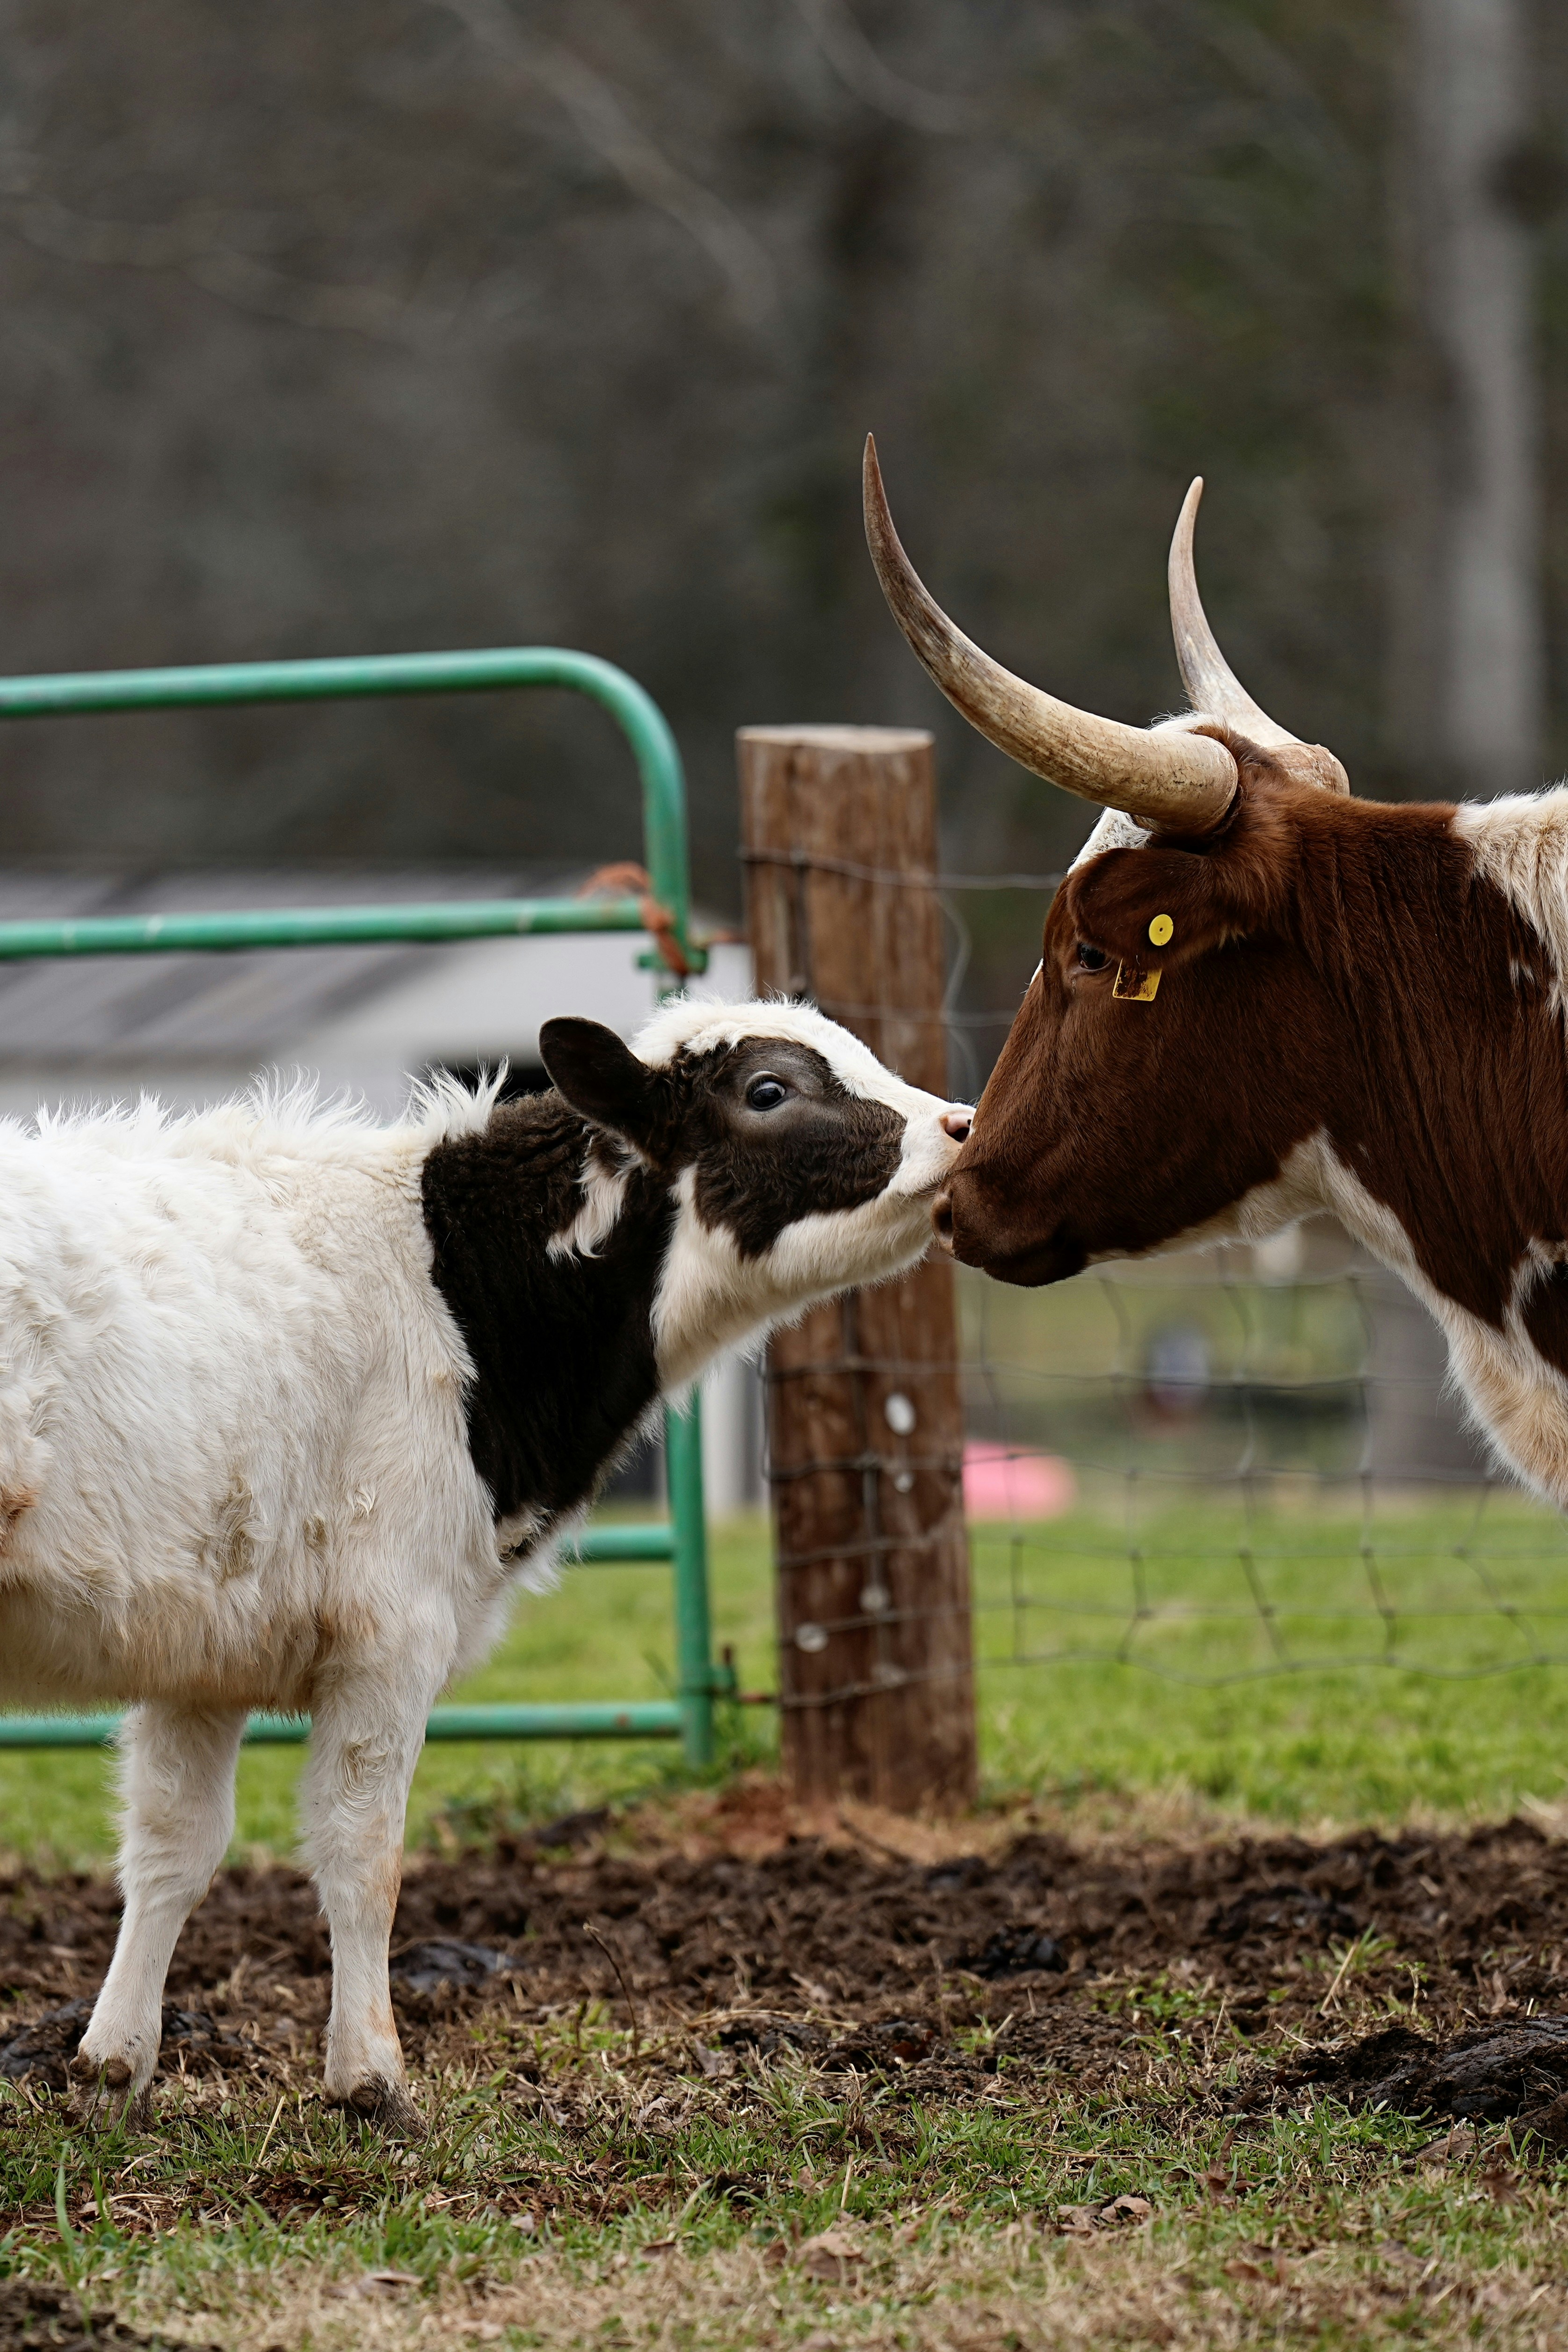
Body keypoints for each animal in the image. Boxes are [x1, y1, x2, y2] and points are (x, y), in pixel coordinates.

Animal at [0, 995, 971, 2132]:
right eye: (768, 1089)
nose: (961, 1125)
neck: (455, 1277)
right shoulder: (393, 1629)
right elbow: (361, 1853)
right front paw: (370, 2077)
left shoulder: (202, 1644)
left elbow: (170, 1848)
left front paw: (114, 2064)